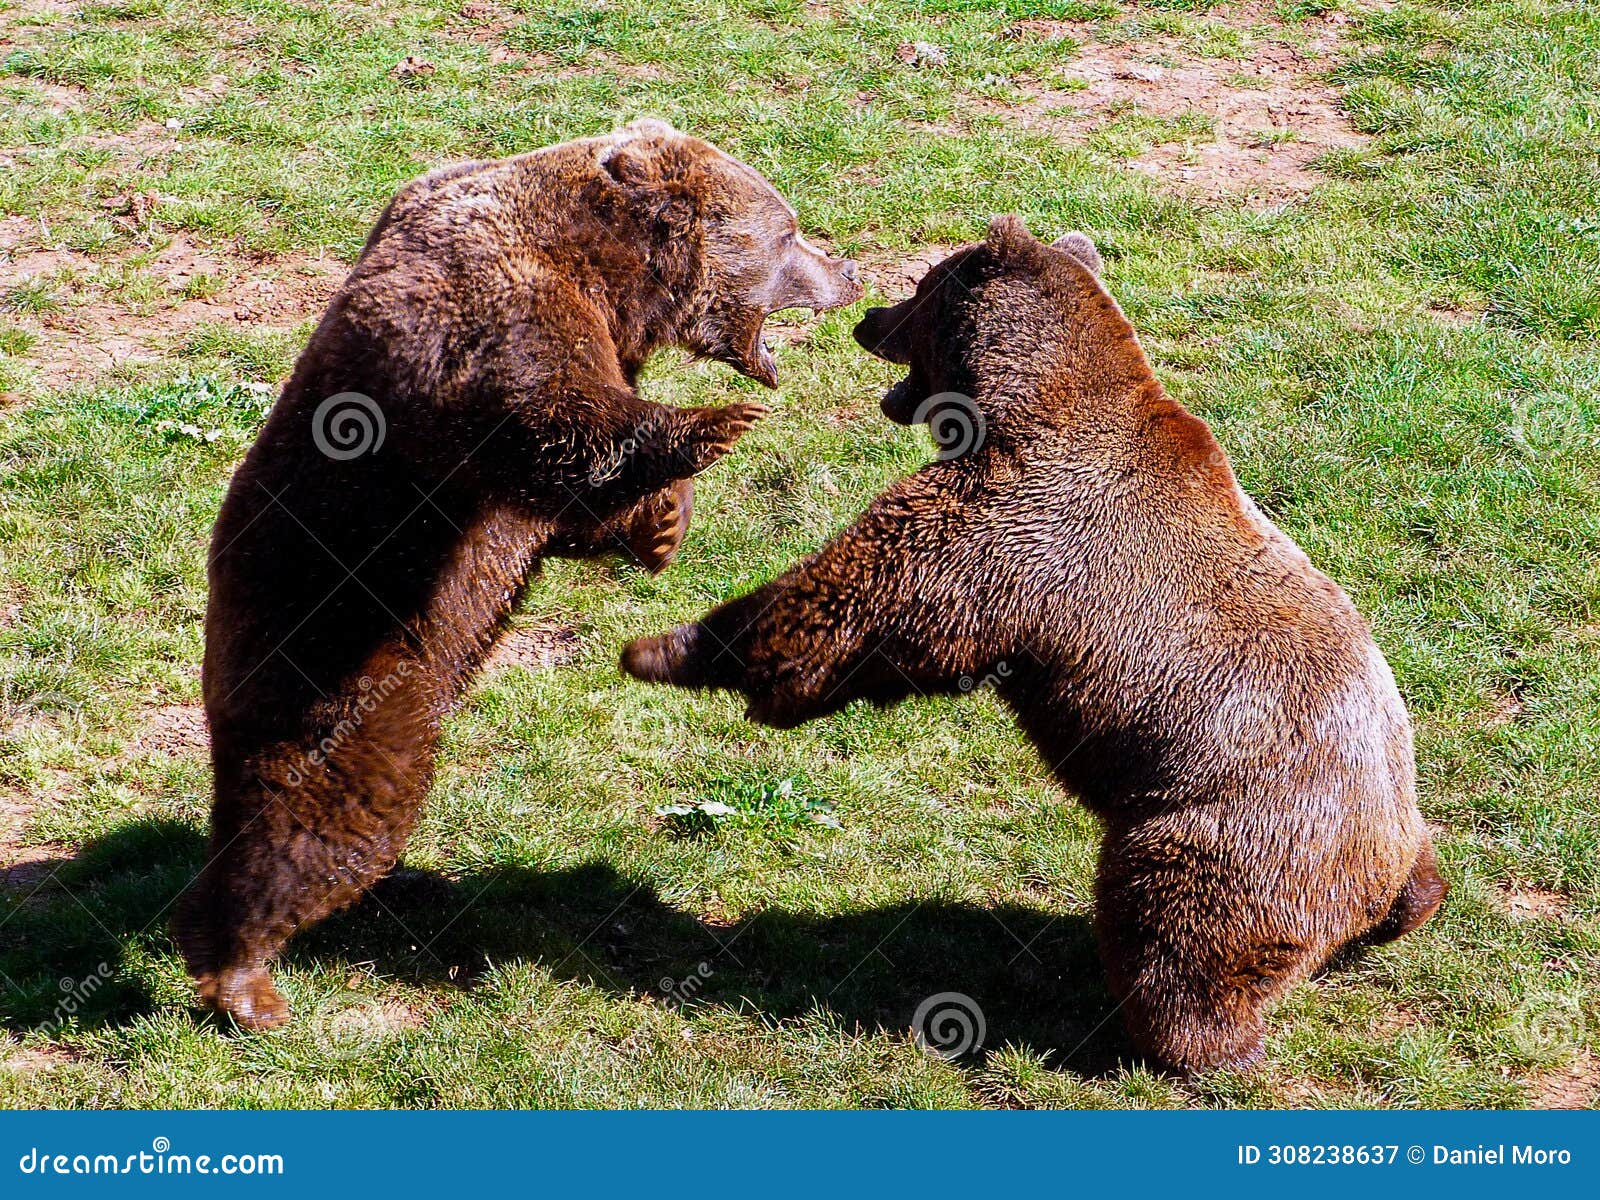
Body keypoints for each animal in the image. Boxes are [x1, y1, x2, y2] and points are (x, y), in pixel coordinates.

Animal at [178, 120, 863, 1029]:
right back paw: (245, 980)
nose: (849, 272)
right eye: (788, 234)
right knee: (315, 822)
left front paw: (664, 521)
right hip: (337, 669)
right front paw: (715, 424)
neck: (615, 272)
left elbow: (571, 505)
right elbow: (555, 415)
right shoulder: (488, 316)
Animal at [620, 215, 1445, 1075]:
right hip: (1384, 823)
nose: (868, 317)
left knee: (1174, 928)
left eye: (919, 289)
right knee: (1417, 882)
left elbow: (858, 600)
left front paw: (670, 649)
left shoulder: (1009, 531)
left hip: (1235, 833)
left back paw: (1191, 1043)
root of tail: (1377, 869)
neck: (1014, 401)